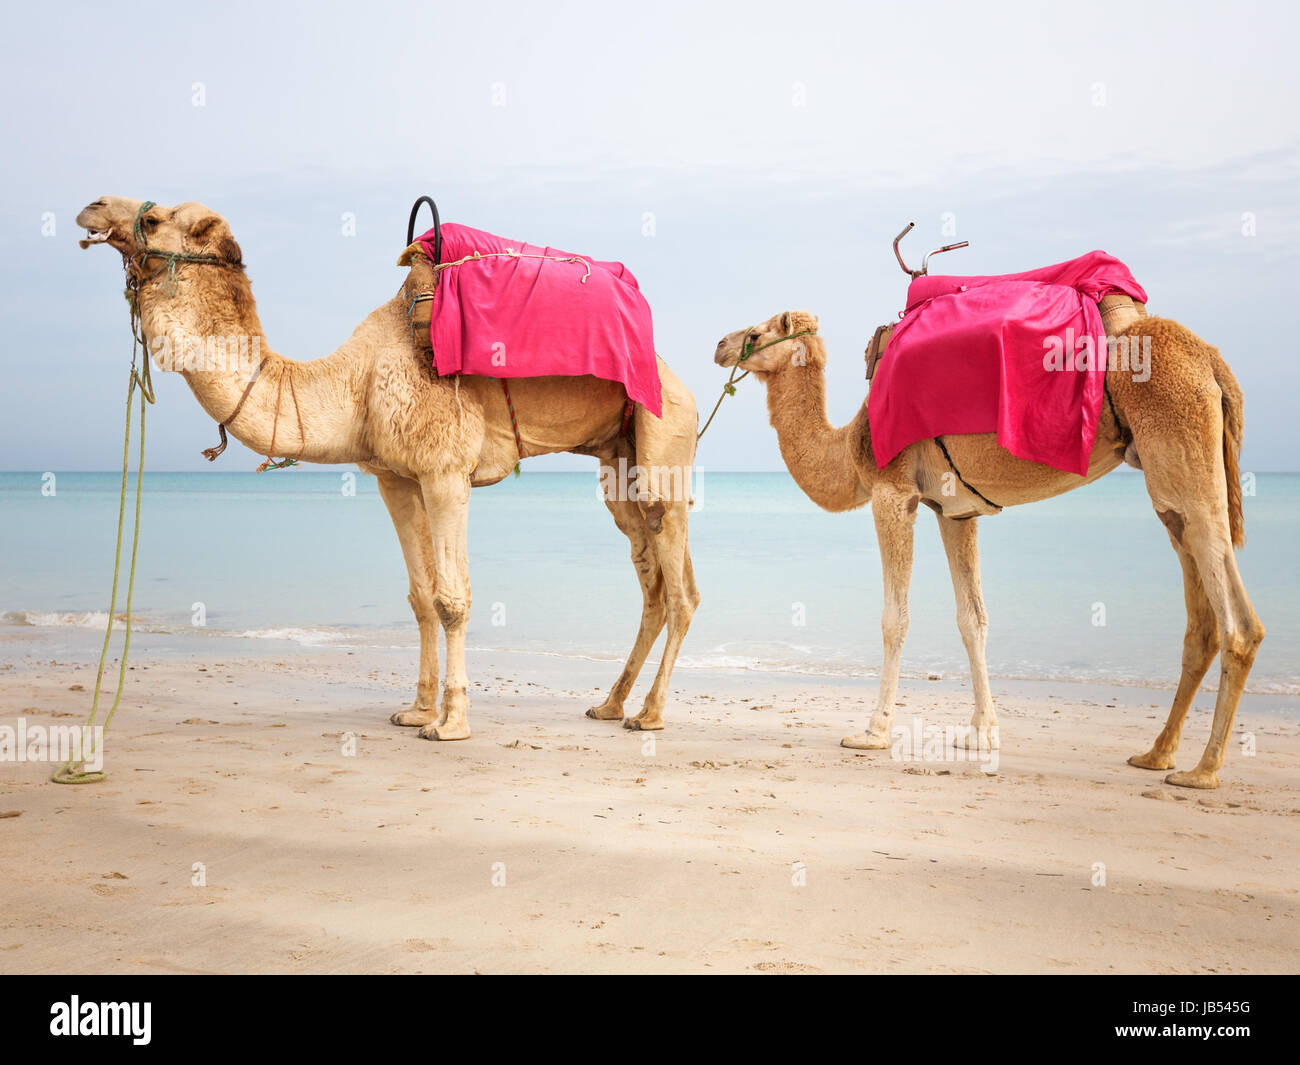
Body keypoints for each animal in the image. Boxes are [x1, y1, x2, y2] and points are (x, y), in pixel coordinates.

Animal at [76, 196, 699, 739]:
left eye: (152, 219)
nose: (91, 208)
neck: (355, 382)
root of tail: (678, 382)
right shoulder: (395, 477)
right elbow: (421, 596)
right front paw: (417, 711)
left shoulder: (446, 470)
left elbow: (452, 598)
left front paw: (451, 724)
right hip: (620, 461)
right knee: (649, 577)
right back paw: (611, 704)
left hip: (663, 442)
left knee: (680, 588)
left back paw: (649, 715)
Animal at [713, 309, 1263, 789]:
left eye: (757, 333)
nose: (719, 345)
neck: (850, 446)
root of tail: (1212, 361)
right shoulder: (955, 511)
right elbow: (971, 619)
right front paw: (980, 734)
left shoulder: (893, 493)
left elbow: (896, 618)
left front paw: (872, 732)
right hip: (1169, 480)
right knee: (1200, 612)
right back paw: (1156, 754)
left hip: (1181, 440)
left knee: (1238, 620)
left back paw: (1202, 770)